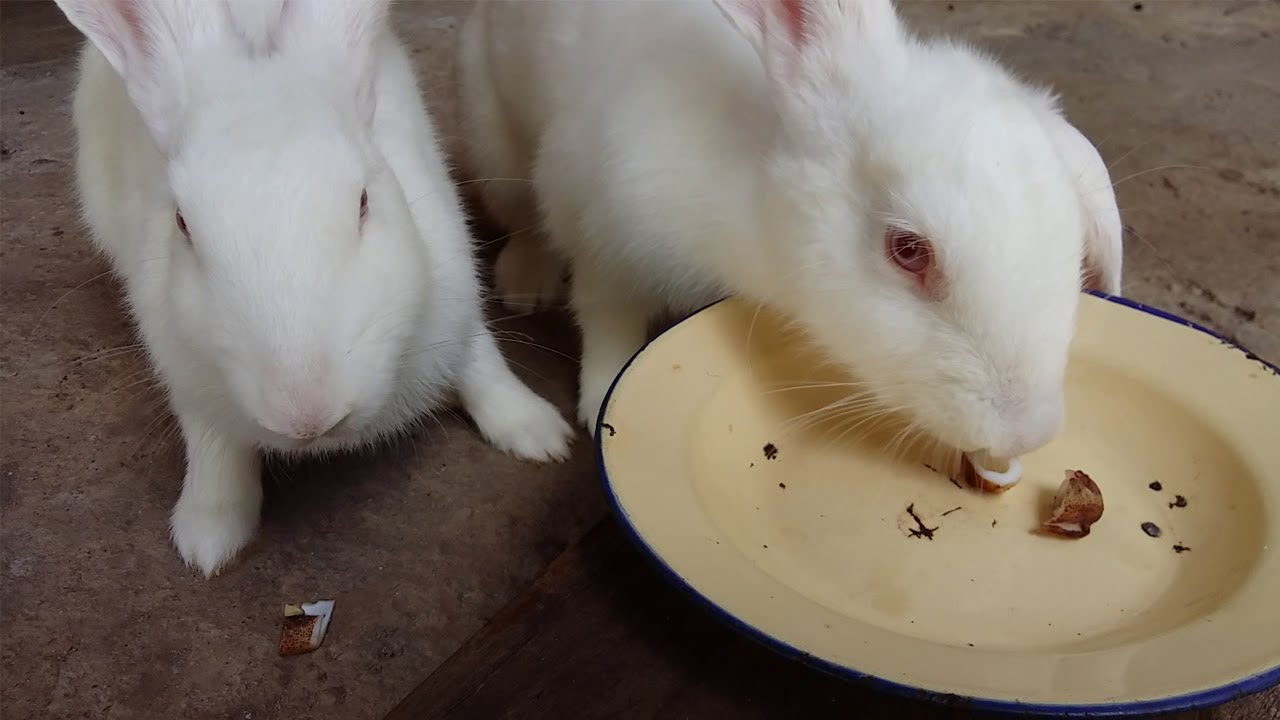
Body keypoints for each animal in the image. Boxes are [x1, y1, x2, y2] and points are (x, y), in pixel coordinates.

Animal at [53, 0, 574, 578]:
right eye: (182, 224)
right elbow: (214, 446)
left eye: (364, 202)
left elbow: (482, 361)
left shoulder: (456, 292)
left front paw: (537, 433)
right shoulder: (186, 374)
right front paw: (209, 535)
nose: (306, 415)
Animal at [456, 0, 1122, 465]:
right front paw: (600, 406)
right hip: (497, 139)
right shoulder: (602, 233)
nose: (1029, 433)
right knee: (522, 220)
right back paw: (524, 282)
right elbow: (606, 323)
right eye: (908, 251)